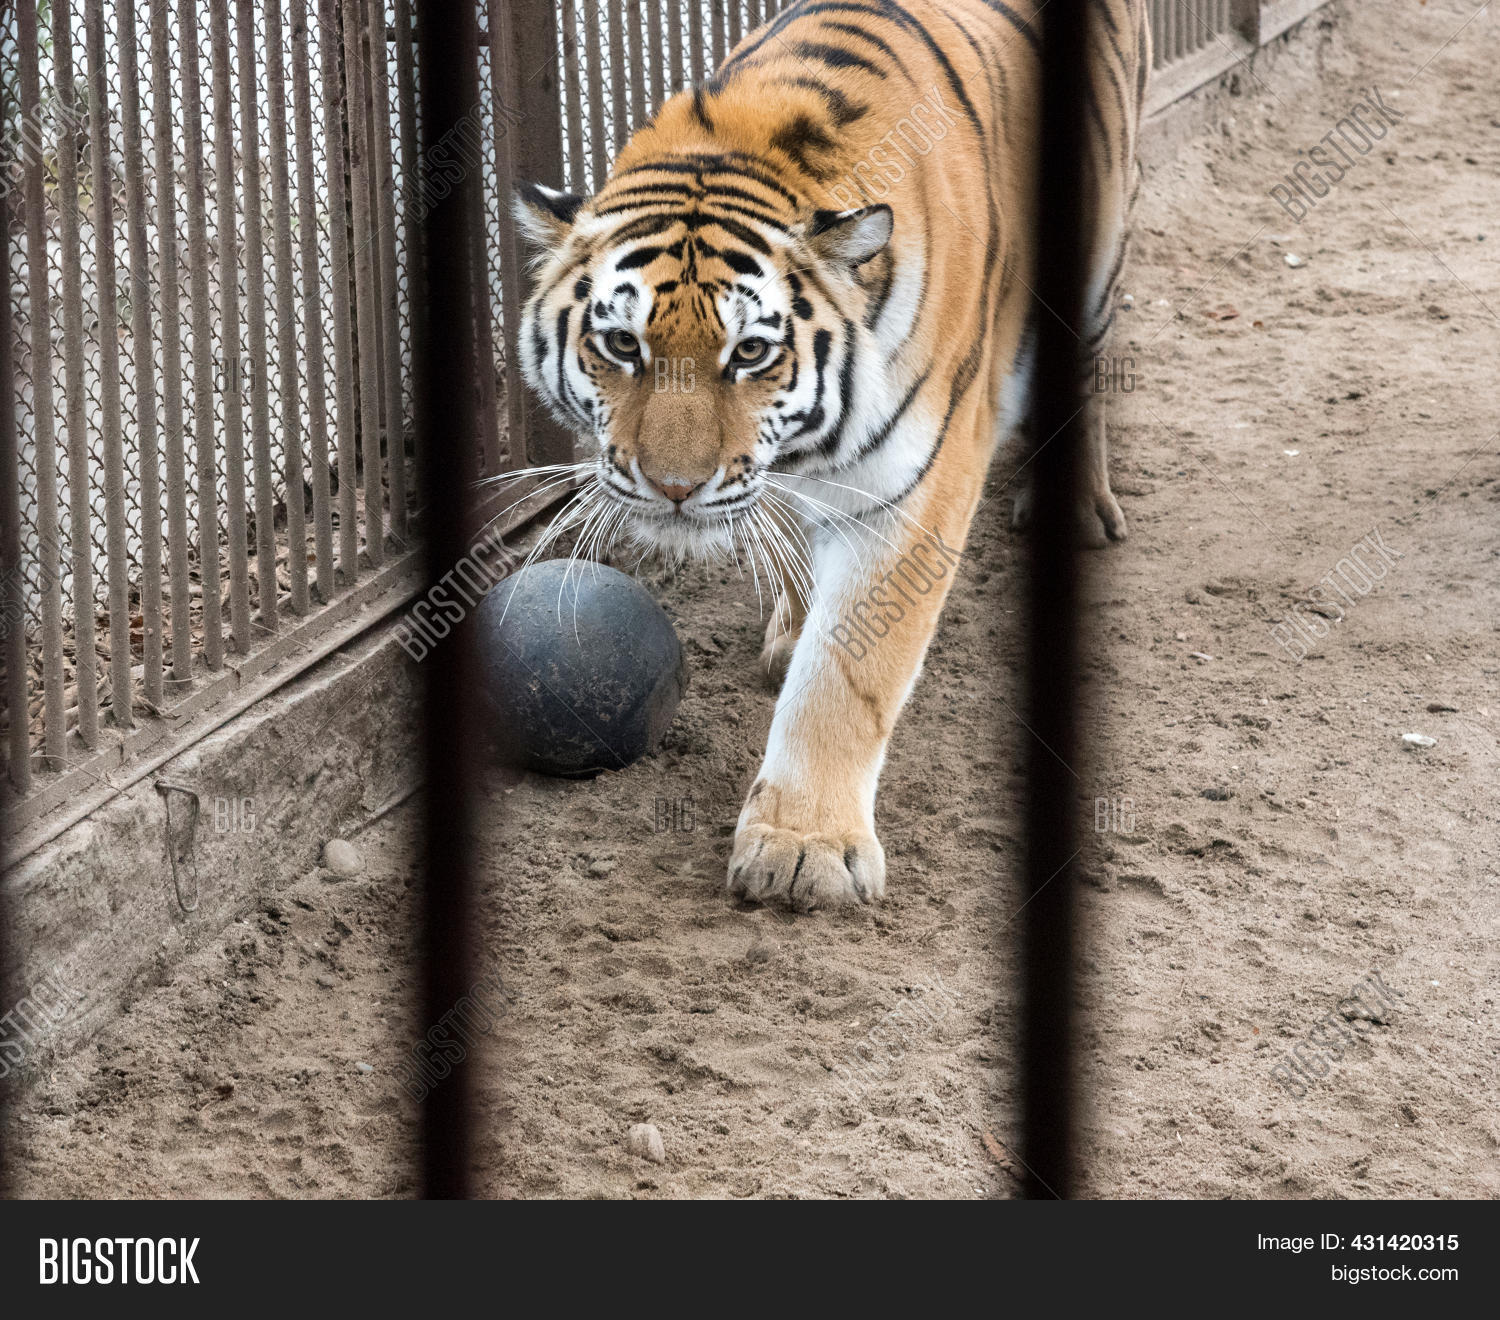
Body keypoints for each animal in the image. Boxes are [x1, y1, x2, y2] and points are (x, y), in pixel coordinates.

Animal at [514, 0, 1149, 910]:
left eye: (749, 352)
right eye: (621, 344)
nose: (673, 487)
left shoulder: (915, 489)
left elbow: (848, 671)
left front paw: (802, 848)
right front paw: (790, 621)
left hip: (1095, 254)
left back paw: (1080, 507)